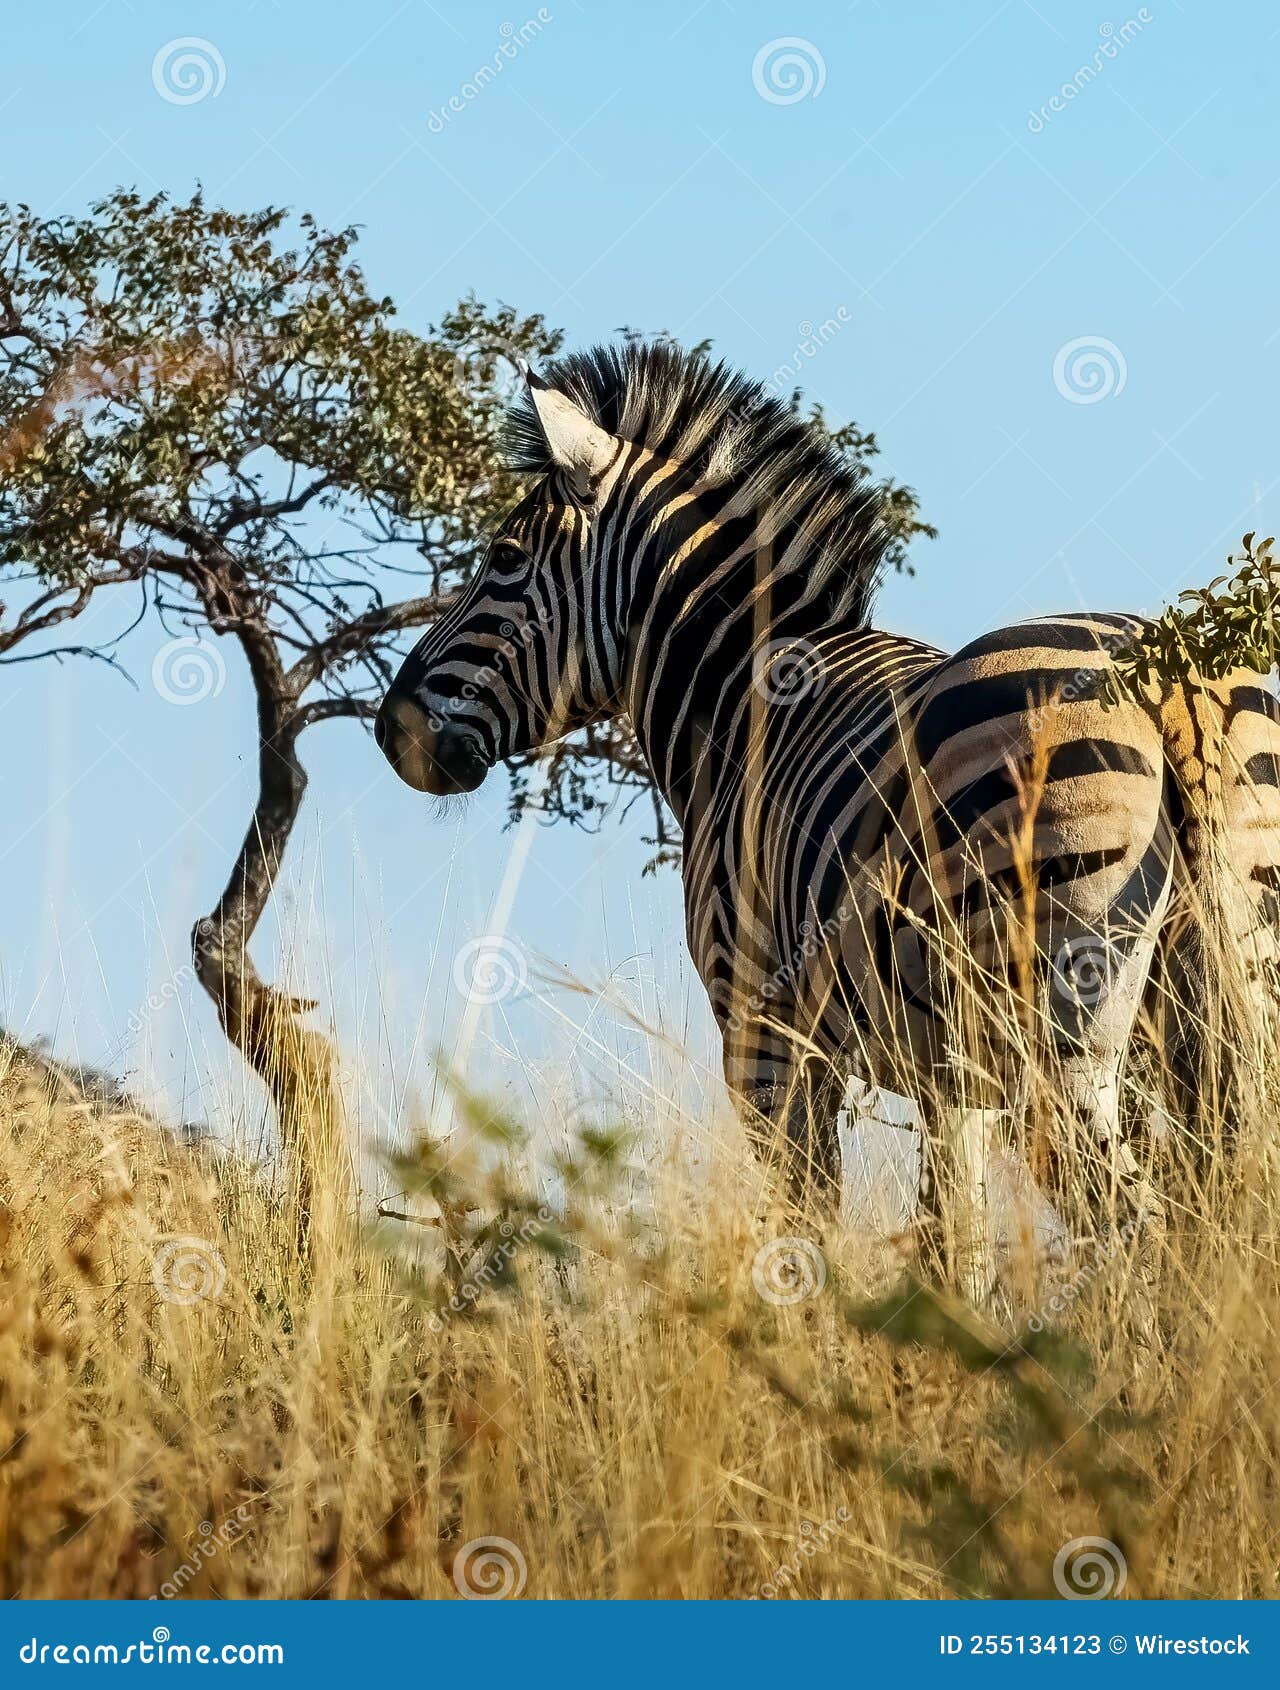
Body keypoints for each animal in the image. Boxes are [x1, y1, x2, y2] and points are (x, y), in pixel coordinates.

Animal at [376, 342, 1280, 1280]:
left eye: (505, 558)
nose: (390, 727)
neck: (740, 701)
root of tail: (1168, 681)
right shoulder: (951, 1078)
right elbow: (953, 1245)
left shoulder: (762, 1029)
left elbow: (802, 1233)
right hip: (1224, 995)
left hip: (1058, 1023)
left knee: (1135, 1223)